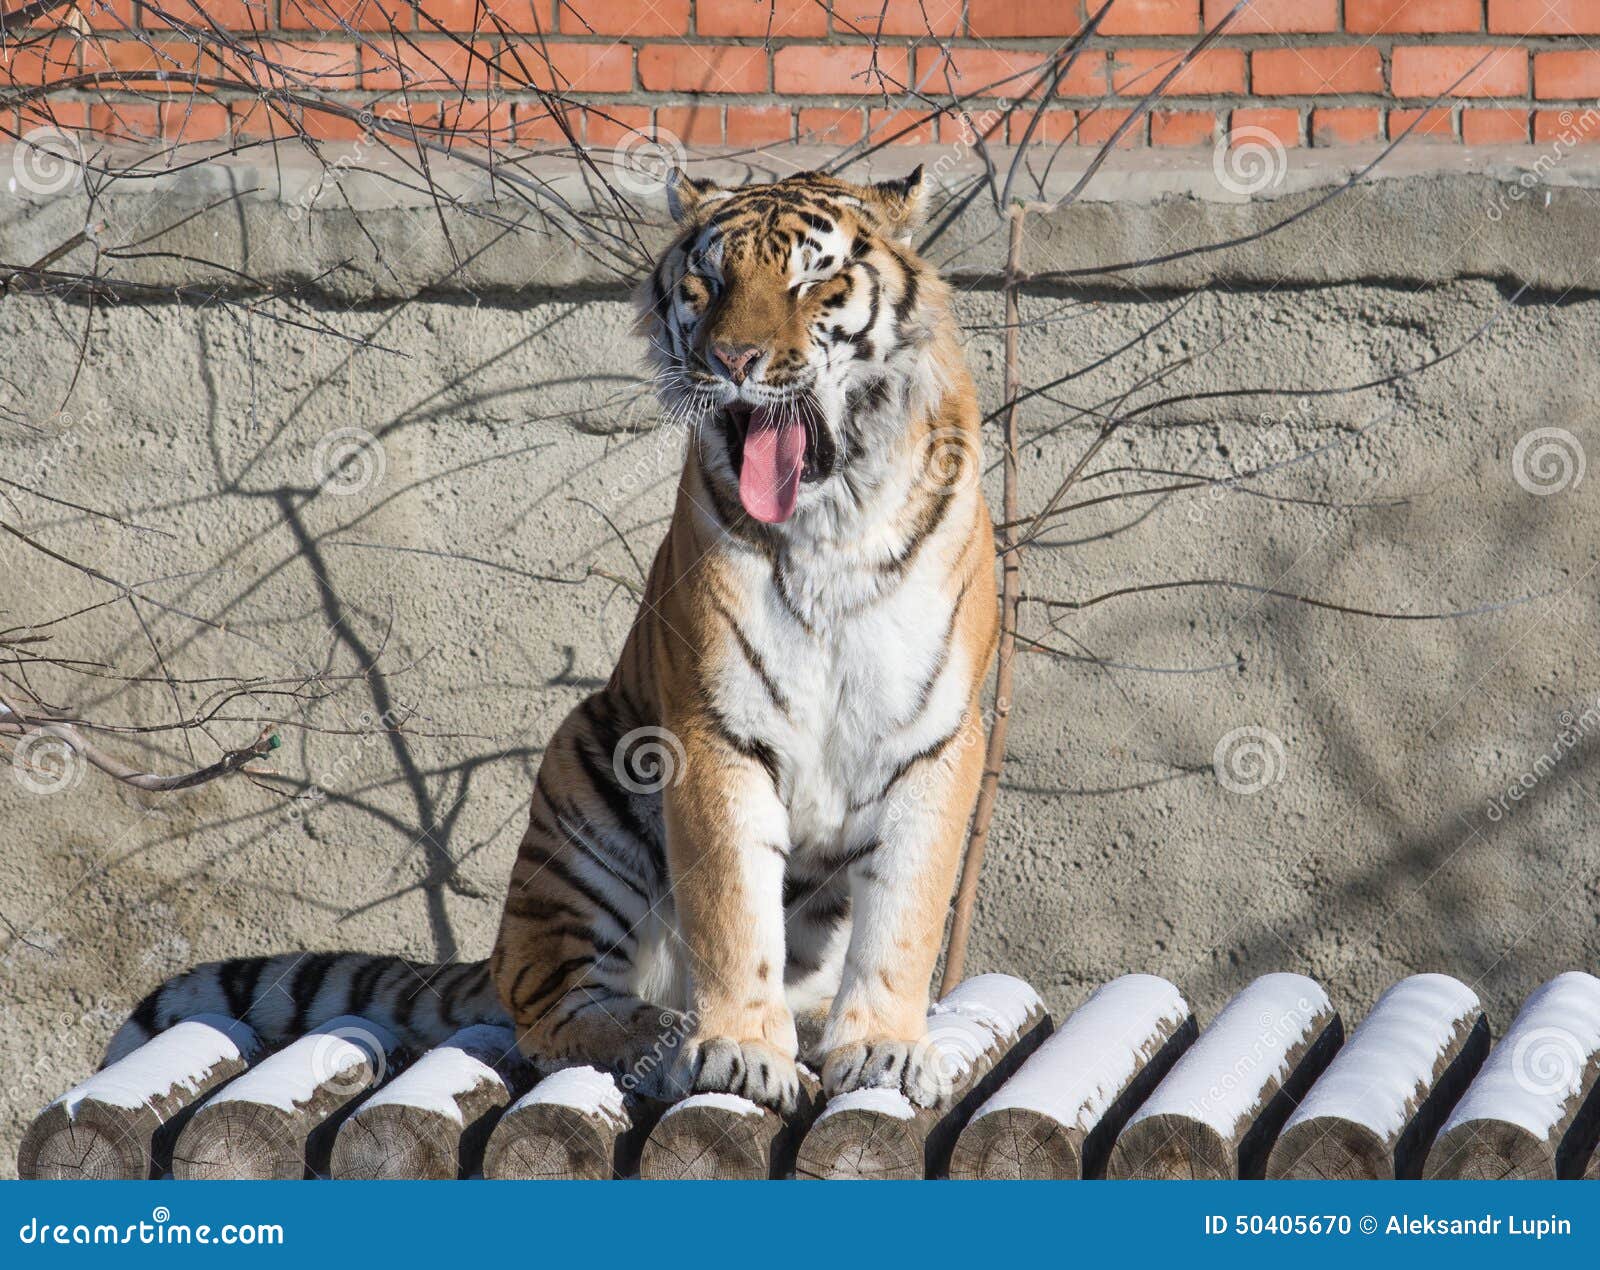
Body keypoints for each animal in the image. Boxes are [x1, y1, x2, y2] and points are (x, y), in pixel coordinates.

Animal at [107, 167, 1000, 1114]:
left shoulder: (934, 734)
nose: (732, 362)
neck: (830, 521)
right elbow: (733, 910)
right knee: (551, 1006)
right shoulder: (710, 728)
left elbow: (903, 915)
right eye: (709, 281)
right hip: (587, 792)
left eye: (811, 280)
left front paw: (883, 1047)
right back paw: (666, 1034)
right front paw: (741, 1051)